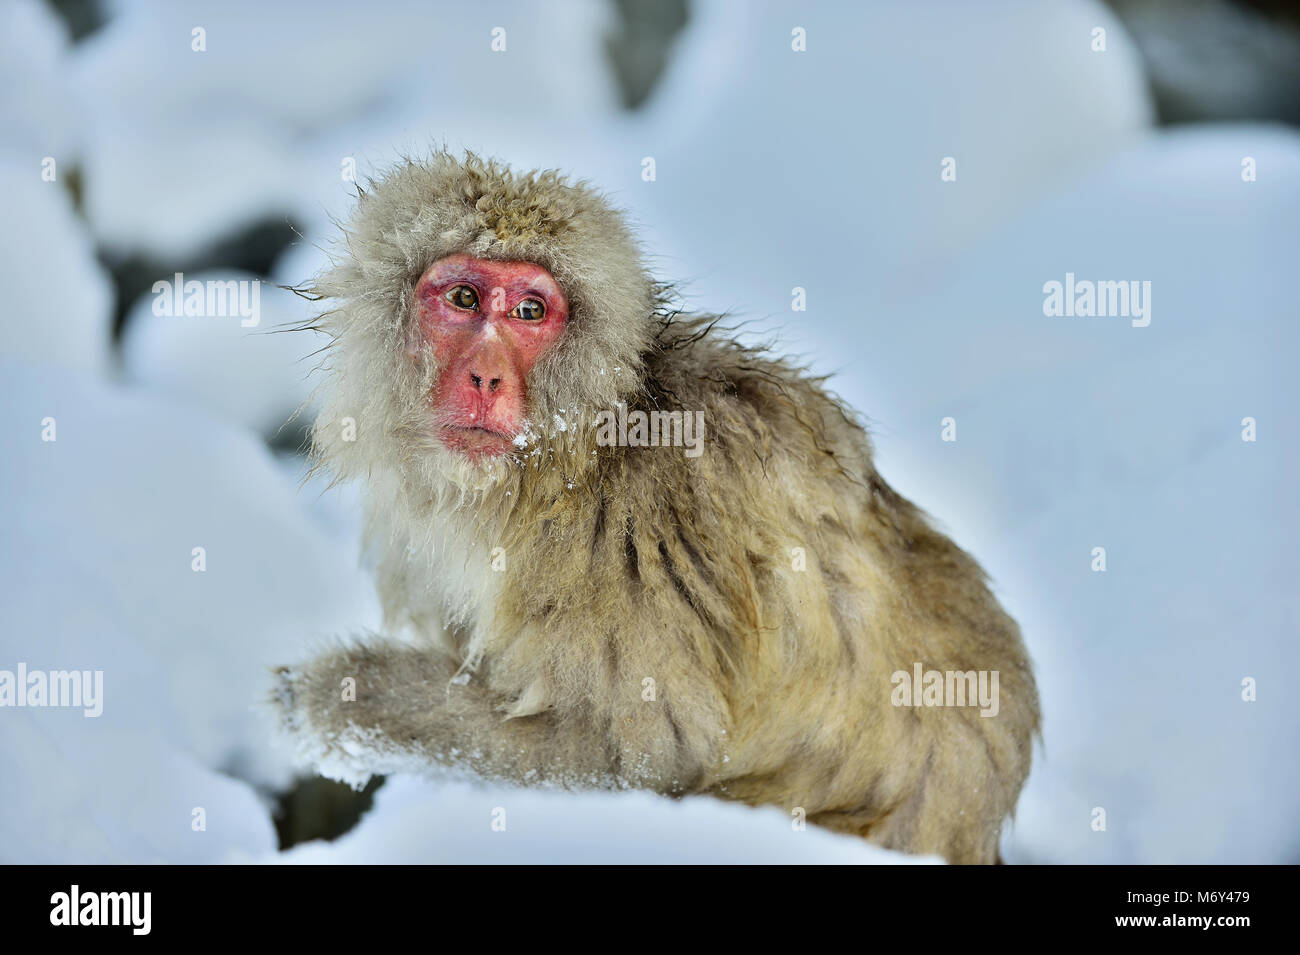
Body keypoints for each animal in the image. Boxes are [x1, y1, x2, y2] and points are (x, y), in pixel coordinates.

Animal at [274, 151, 1039, 864]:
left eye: (529, 311)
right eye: (463, 296)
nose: (486, 376)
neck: (569, 459)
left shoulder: (629, 538)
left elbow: (630, 758)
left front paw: (343, 695)